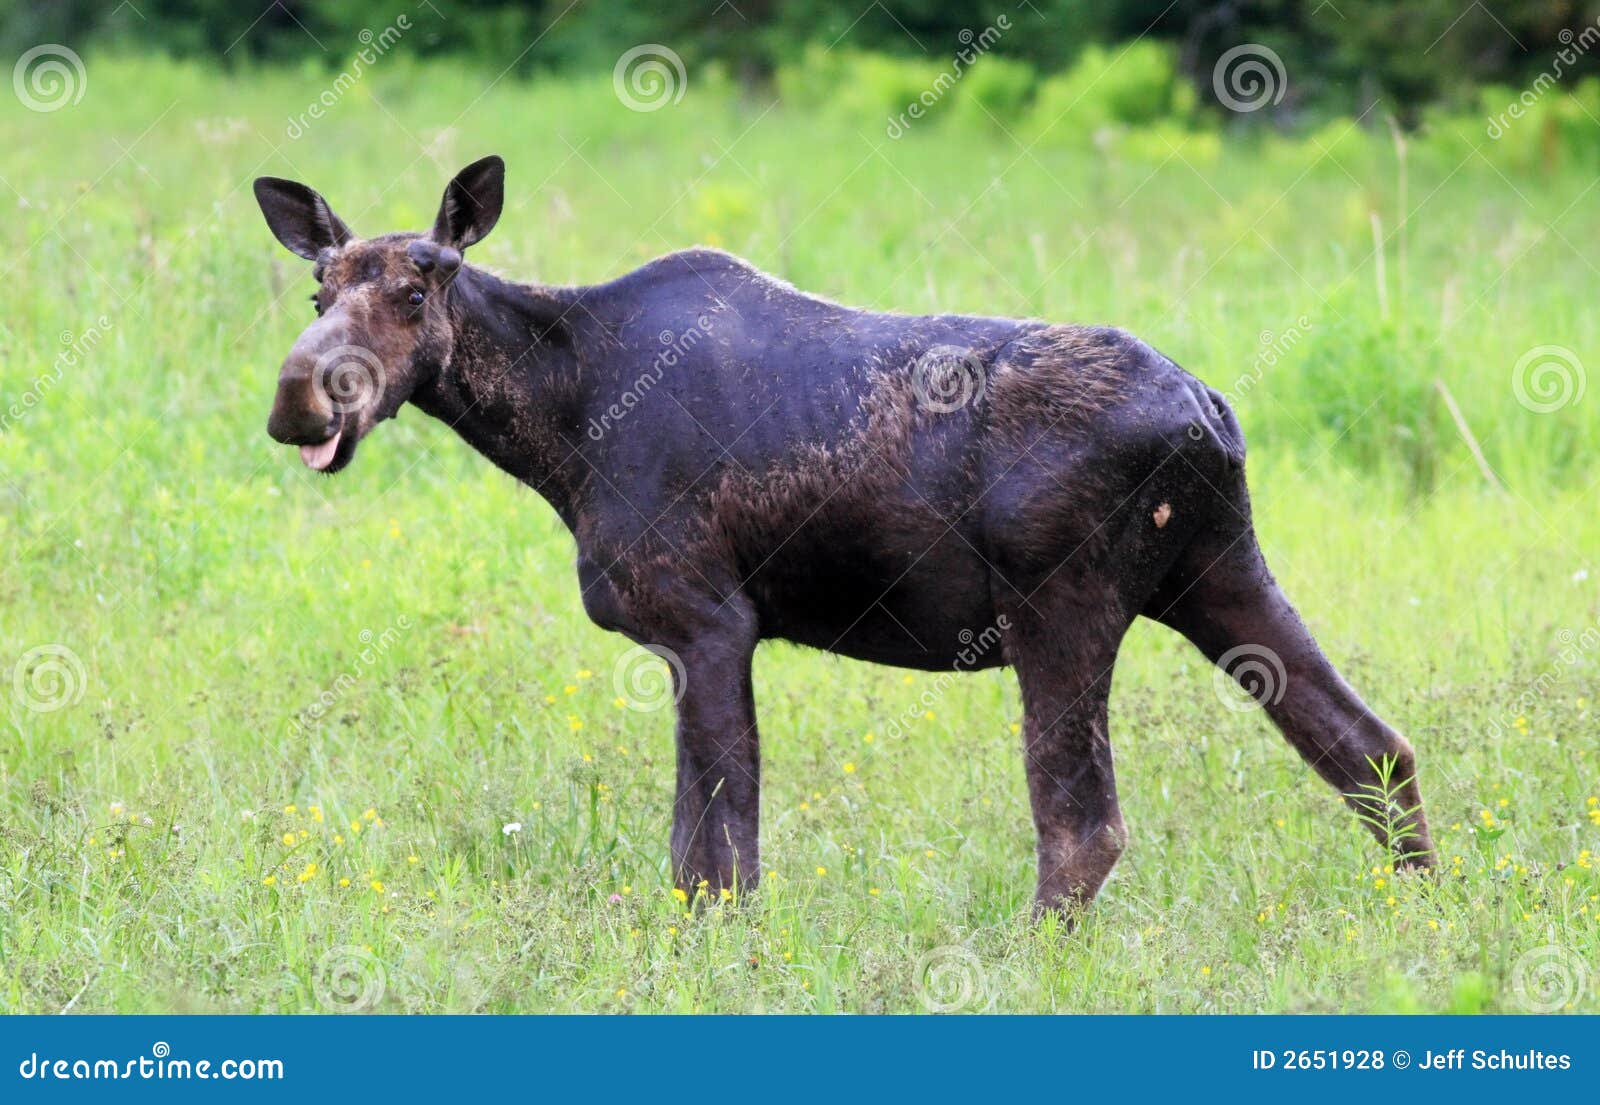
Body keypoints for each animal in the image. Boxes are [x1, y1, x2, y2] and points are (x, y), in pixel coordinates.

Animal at [254, 156, 1434, 919]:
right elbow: (699, 851)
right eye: (317, 290)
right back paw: (1427, 920)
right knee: (1372, 747)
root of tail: (1209, 411)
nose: (299, 397)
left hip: (1064, 607)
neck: (558, 424)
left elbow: (718, 859)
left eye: (419, 288)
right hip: (1218, 573)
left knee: (1082, 828)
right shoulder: (696, 637)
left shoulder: (707, 622)